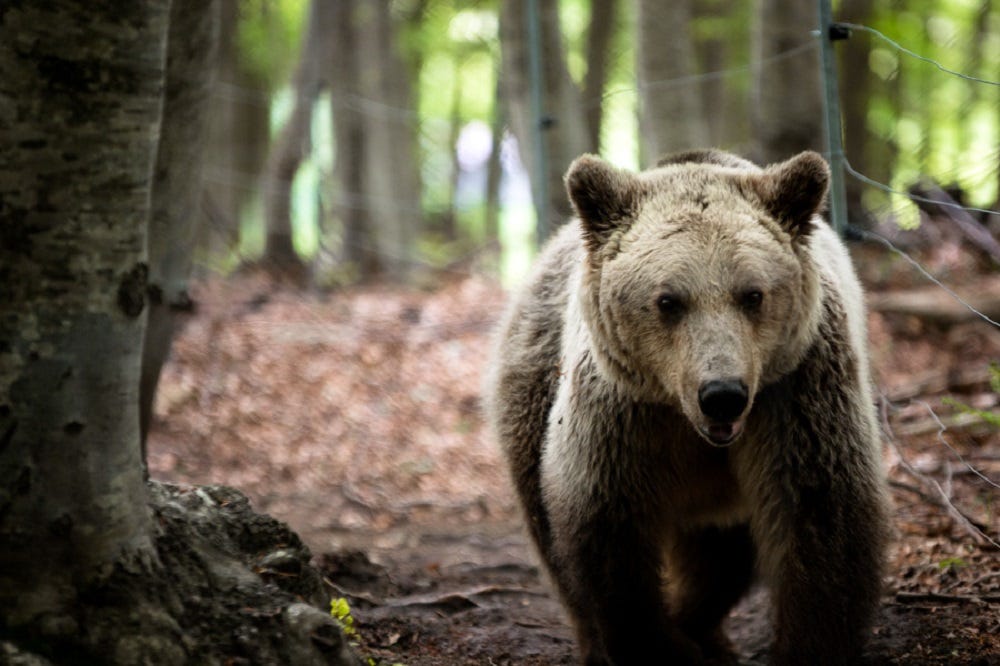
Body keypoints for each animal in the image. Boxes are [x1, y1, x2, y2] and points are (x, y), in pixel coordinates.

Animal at [484, 149, 890, 665]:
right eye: (668, 300)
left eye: (752, 294)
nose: (722, 394)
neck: (687, 421)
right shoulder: (622, 413)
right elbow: (608, 531)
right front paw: (655, 644)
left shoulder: (796, 392)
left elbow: (821, 518)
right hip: (534, 380)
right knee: (548, 530)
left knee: (722, 559)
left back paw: (705, 633)